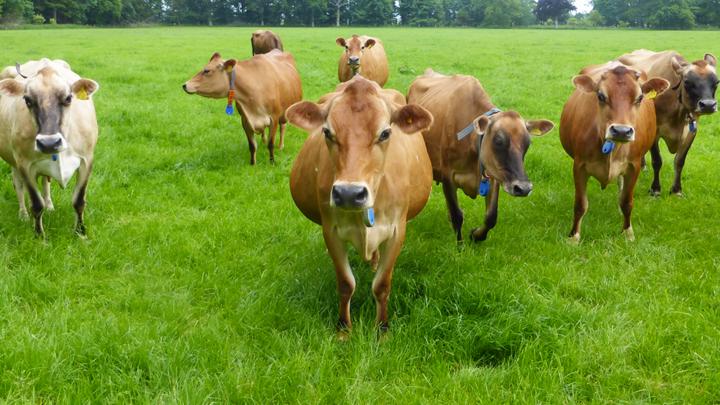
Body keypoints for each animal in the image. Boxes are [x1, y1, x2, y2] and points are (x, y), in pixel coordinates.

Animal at [0, 60, 99, 237]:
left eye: (68, 98)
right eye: (27, 100)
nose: (49, 143)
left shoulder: (87, 160)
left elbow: (79, 201)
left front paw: (81, 232)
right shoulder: (24, 164)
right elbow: (36, 204)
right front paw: (39, 235)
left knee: (46, 182)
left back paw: (50, 206)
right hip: (13, 161)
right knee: (18, 185)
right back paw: (23, 215)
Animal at [286, 76, 433, 336]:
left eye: (385, 133)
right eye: (327, 131)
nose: (349, 194)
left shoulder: (397, 231)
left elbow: (382, 285)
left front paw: (382, 329)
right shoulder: (331, 231)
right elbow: (346, 283)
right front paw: (344, 329)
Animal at [407, 69, 554, 242]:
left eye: (528, 143)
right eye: (498, 140)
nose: (523, 188)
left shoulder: (494, 174)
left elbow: (491, 217)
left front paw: (476, 235)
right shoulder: (447, 175)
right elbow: (457, 216)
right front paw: (460, 245)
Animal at [560, 62, 670, 242]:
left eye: (640, 98)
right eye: (601, 96)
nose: (621, 131)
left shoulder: (634, 166)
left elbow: (627, 202)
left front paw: (628, 233)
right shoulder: (579, 165)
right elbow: (580, 204)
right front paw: (573, 237)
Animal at [618, 50, 718, 196]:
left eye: (716, 82)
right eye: (687, 82)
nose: (708, 105)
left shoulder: (691, 131)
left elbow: (680, 161)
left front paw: (676, 190)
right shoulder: (654, 130)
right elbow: (657, 161)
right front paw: (655, 189)